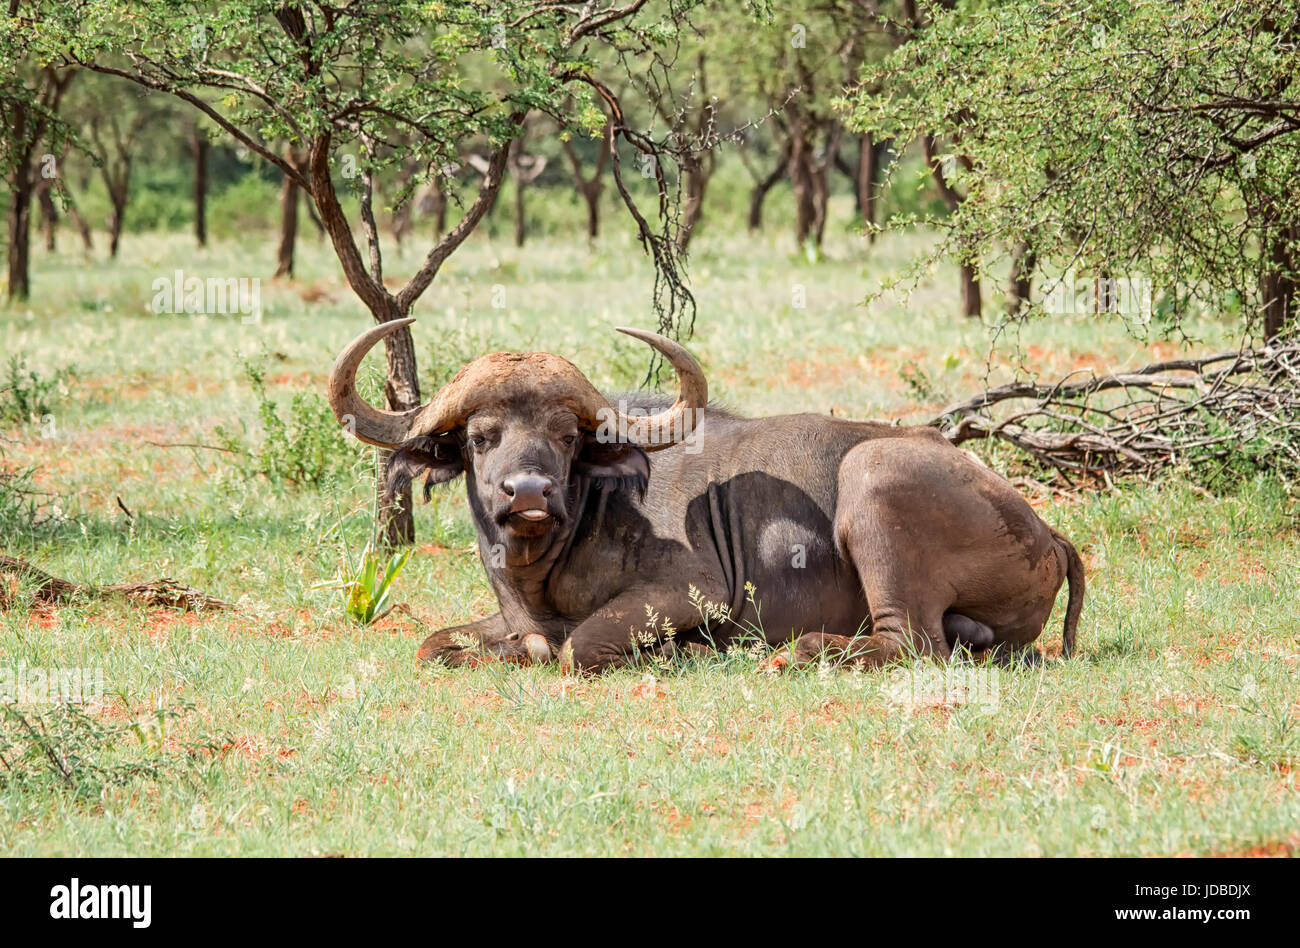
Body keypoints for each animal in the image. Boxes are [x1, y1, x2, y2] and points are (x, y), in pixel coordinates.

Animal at [328, 320, 1083, 673]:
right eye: (481, 437)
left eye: (567, 437)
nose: (531, 493)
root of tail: (1046, 532)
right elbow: (434, 644)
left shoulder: (690, 595)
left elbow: (574, 649)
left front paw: (679, 653)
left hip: (874, 475)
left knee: (910, 642)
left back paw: (795, 653)